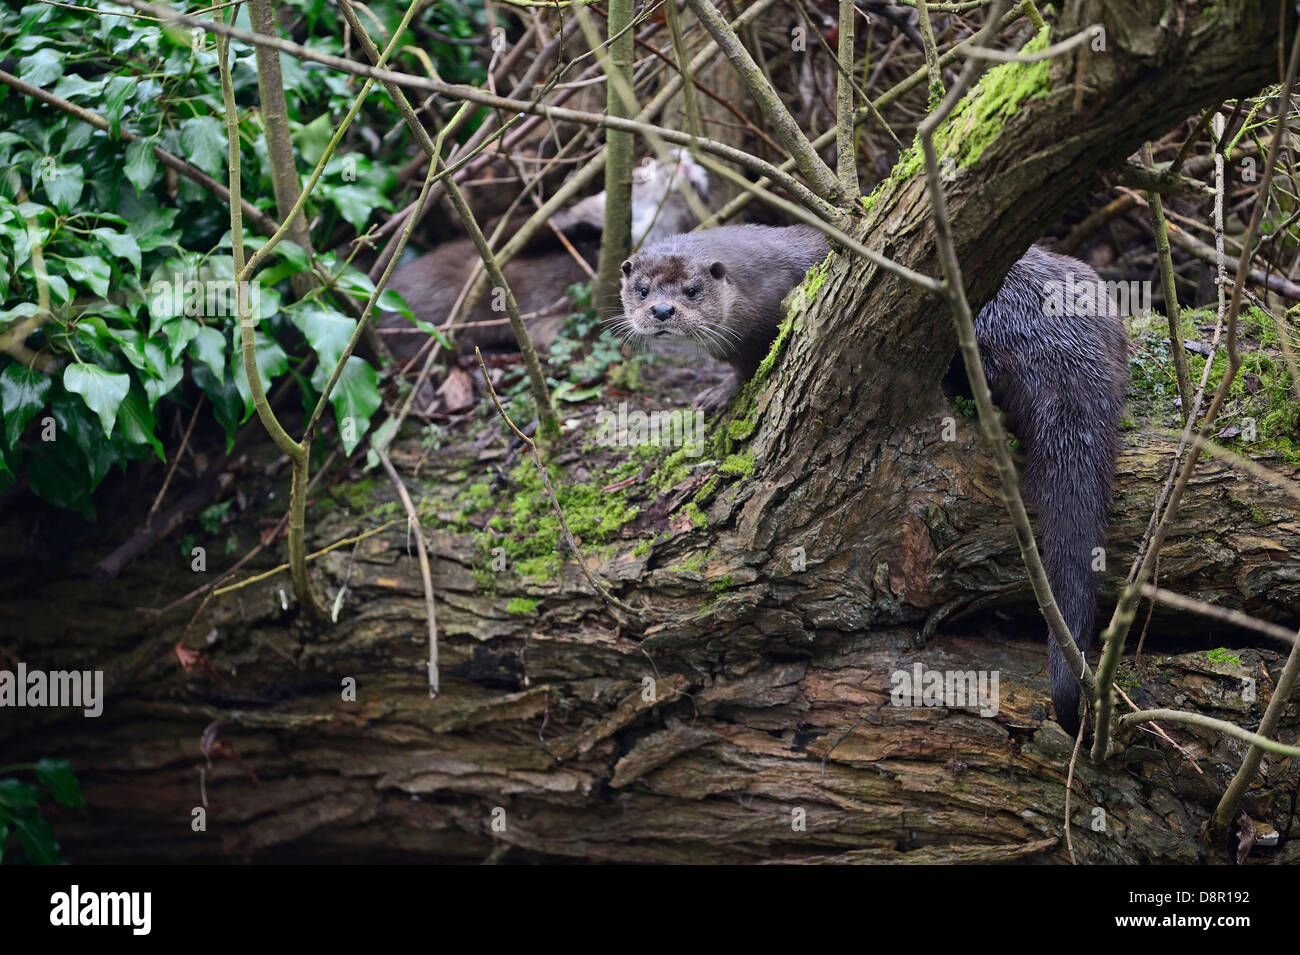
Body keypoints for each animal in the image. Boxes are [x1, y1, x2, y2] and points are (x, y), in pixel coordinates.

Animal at [620, 226, 1129, 735]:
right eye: (642, 290)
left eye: (692, 290)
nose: (661, 311)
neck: (759, 285)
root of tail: (1068, 342)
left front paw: (723, 395)